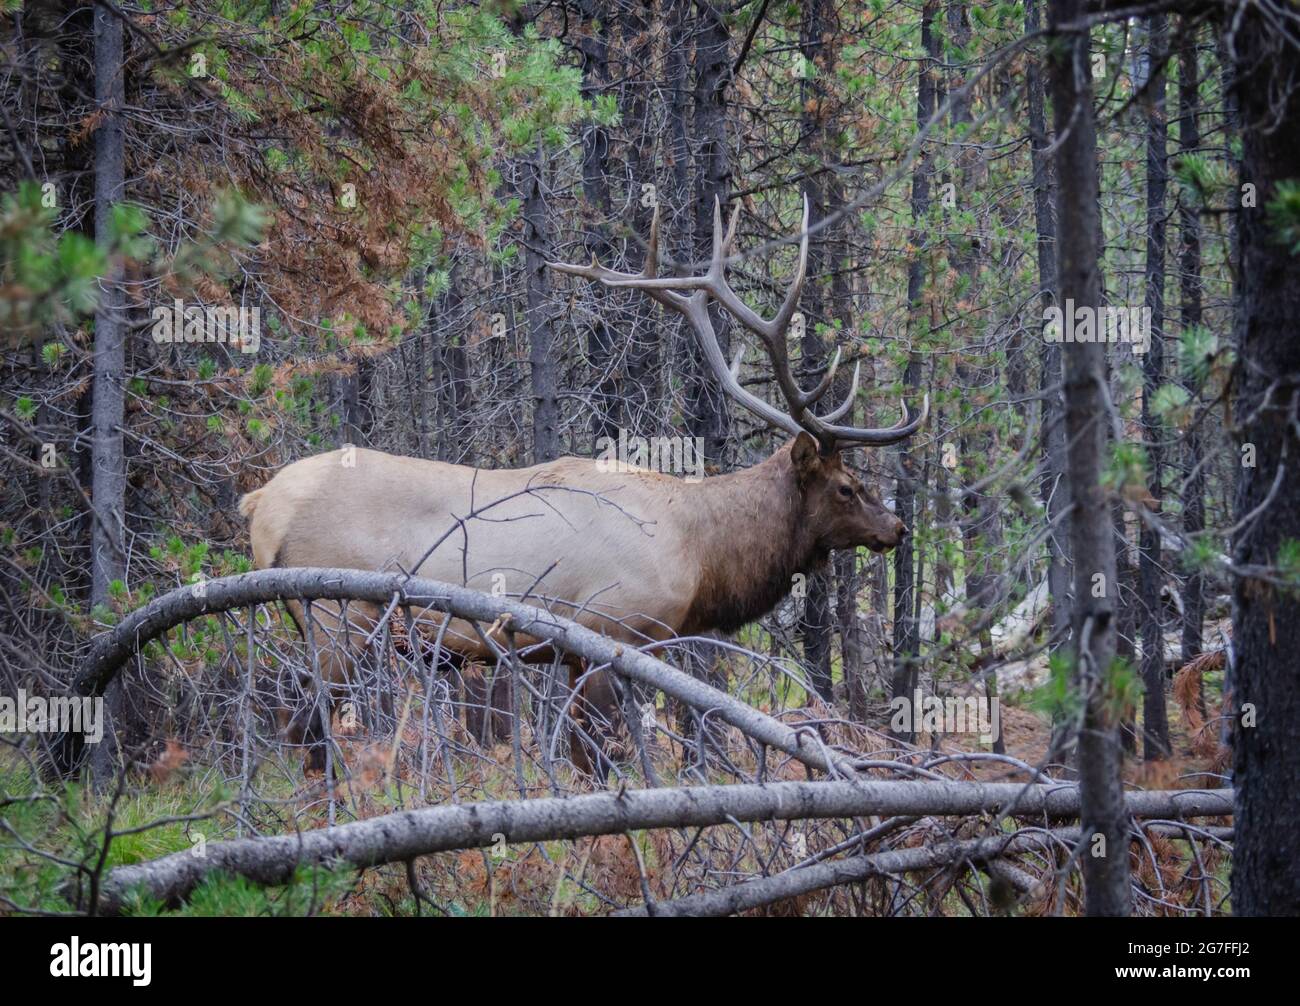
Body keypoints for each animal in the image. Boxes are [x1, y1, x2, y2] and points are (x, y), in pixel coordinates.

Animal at [239, 195, 927, 775]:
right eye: (846, 486)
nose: (897, 527)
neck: (698, 552)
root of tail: (259, 503)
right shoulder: (610, 629)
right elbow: (595, 757)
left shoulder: (572, 654)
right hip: (336, 615)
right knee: (302, 729)